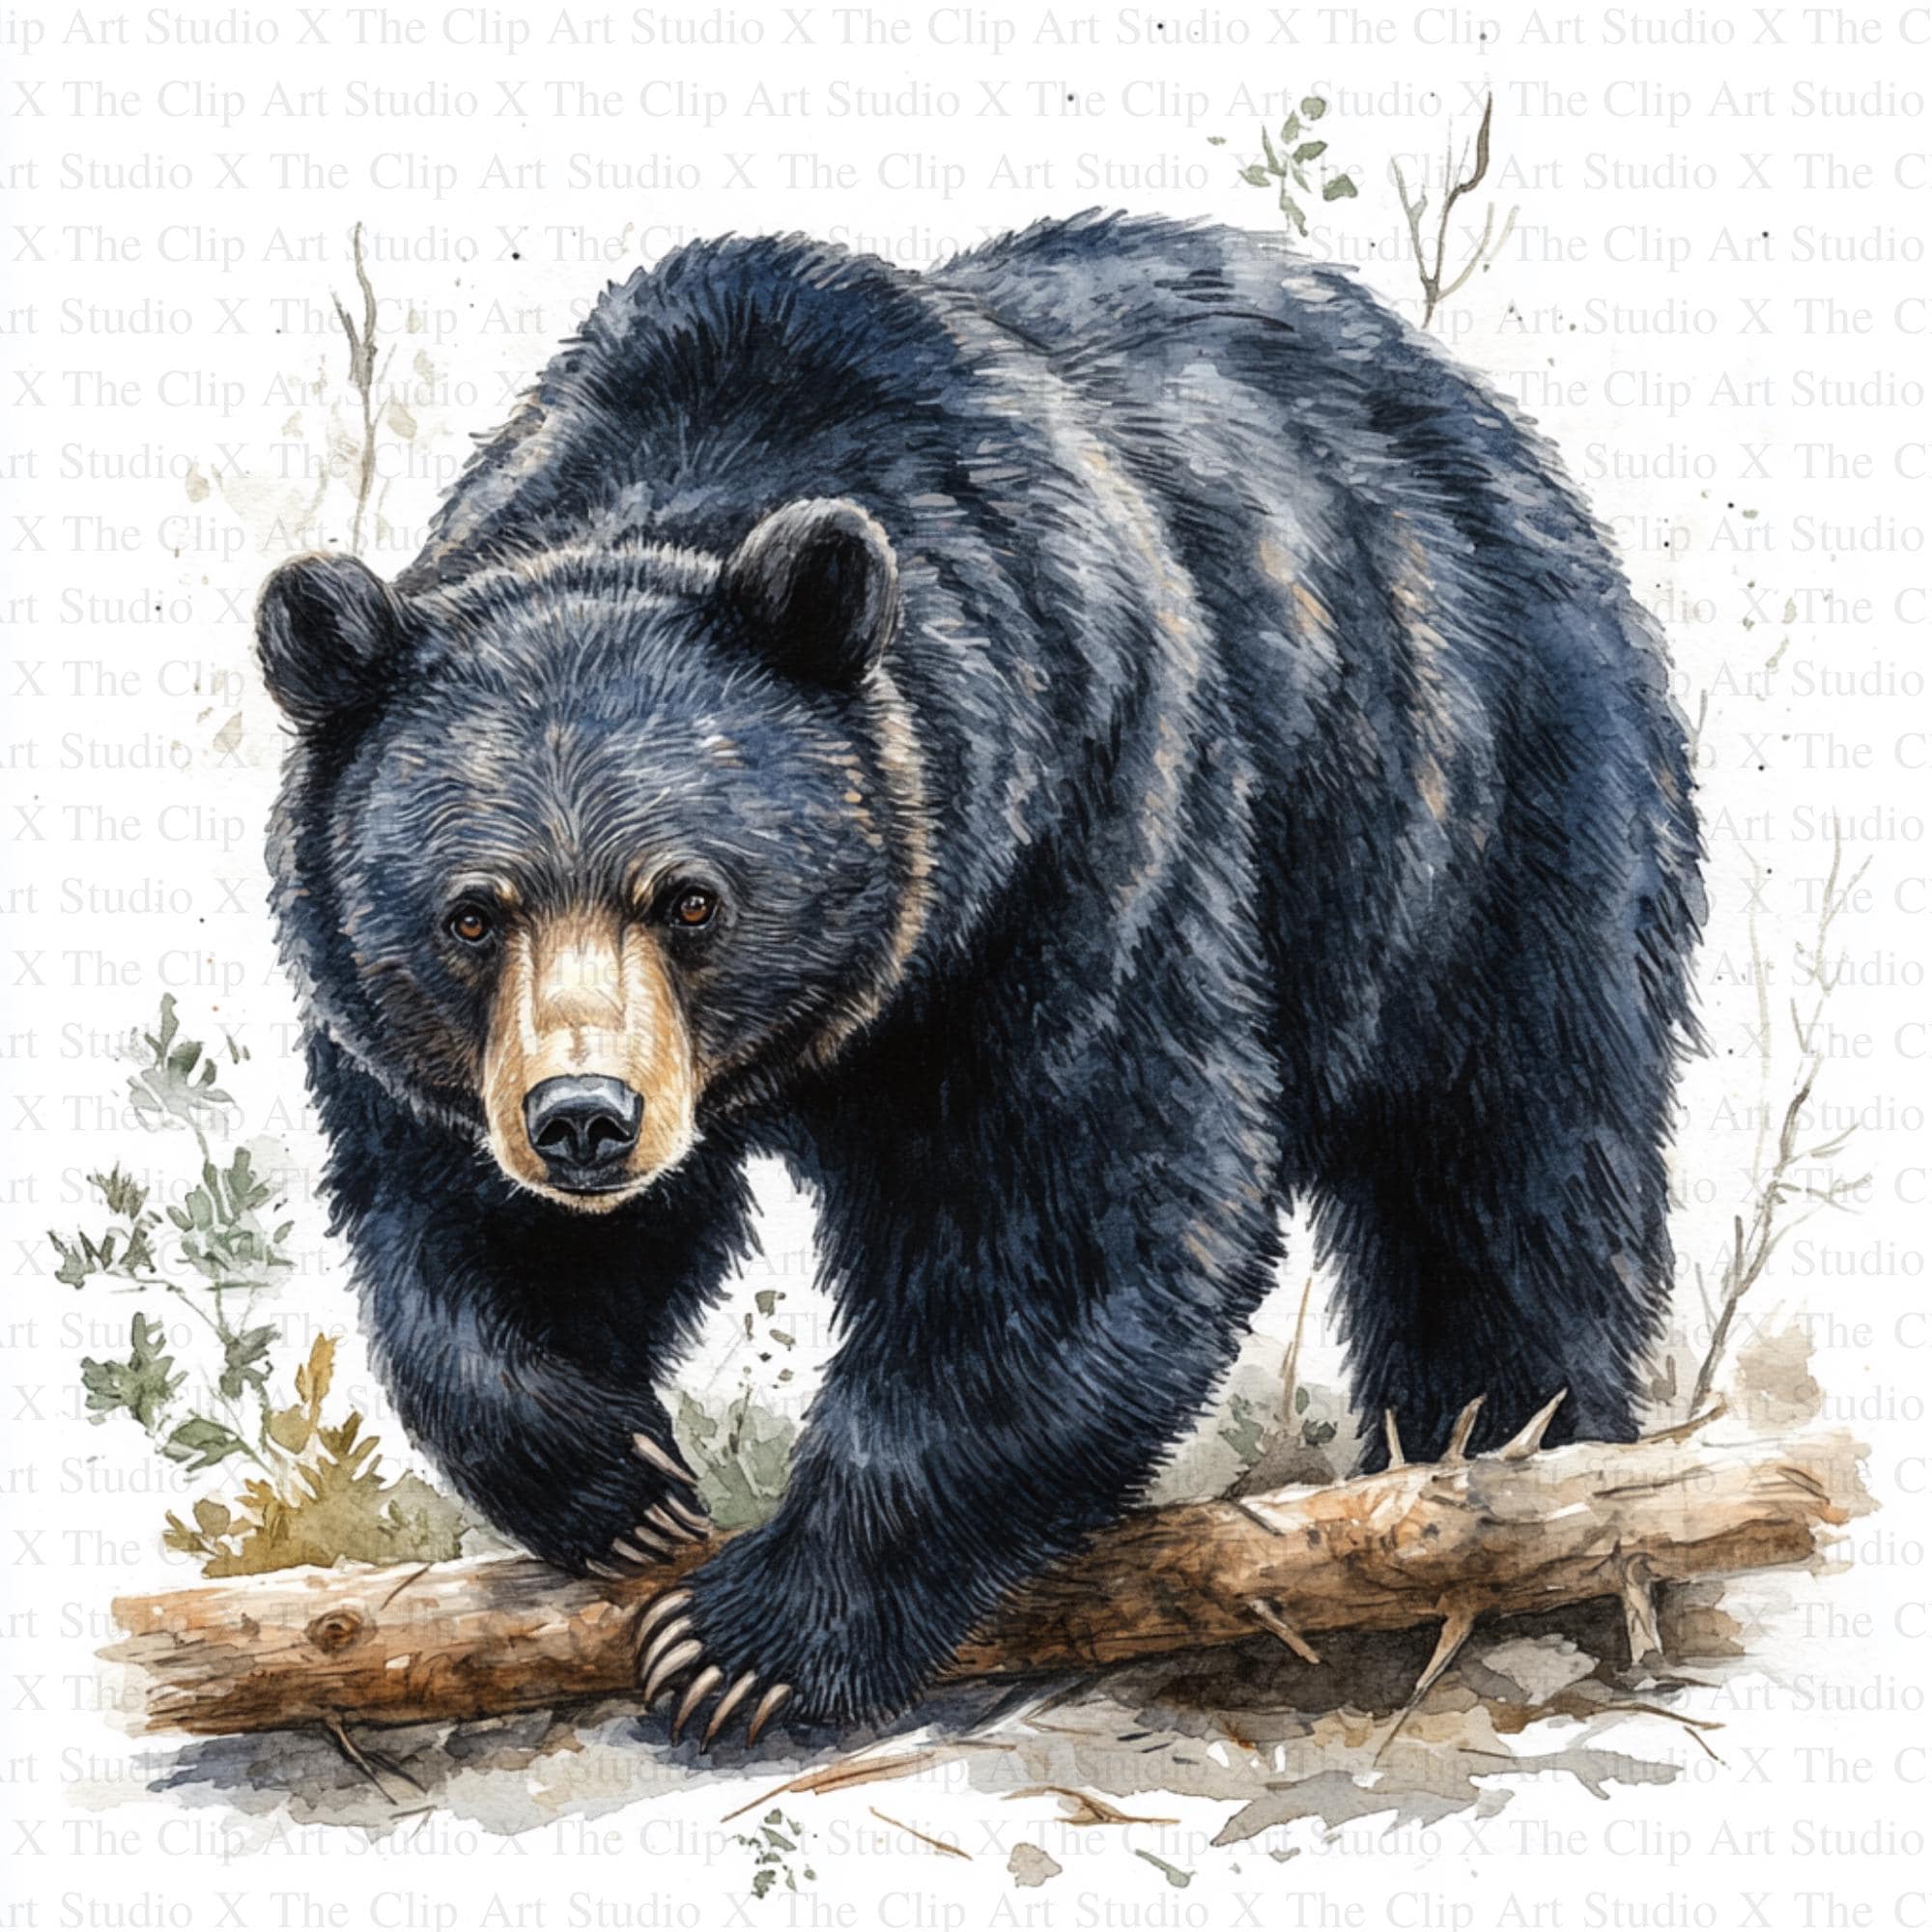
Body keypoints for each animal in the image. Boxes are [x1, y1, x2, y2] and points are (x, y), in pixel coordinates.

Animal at [258, 211, 1705, 1745]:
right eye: (475, 913)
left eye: (693, 898)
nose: (584, 1122)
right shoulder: (461, 1044)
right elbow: (466, 1219)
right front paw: (614, 1483)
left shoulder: (1079, 829)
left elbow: (1084, 1205)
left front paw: (751, 1635)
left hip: (1478, 798)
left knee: (1513, 1161)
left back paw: (1505, 1473)